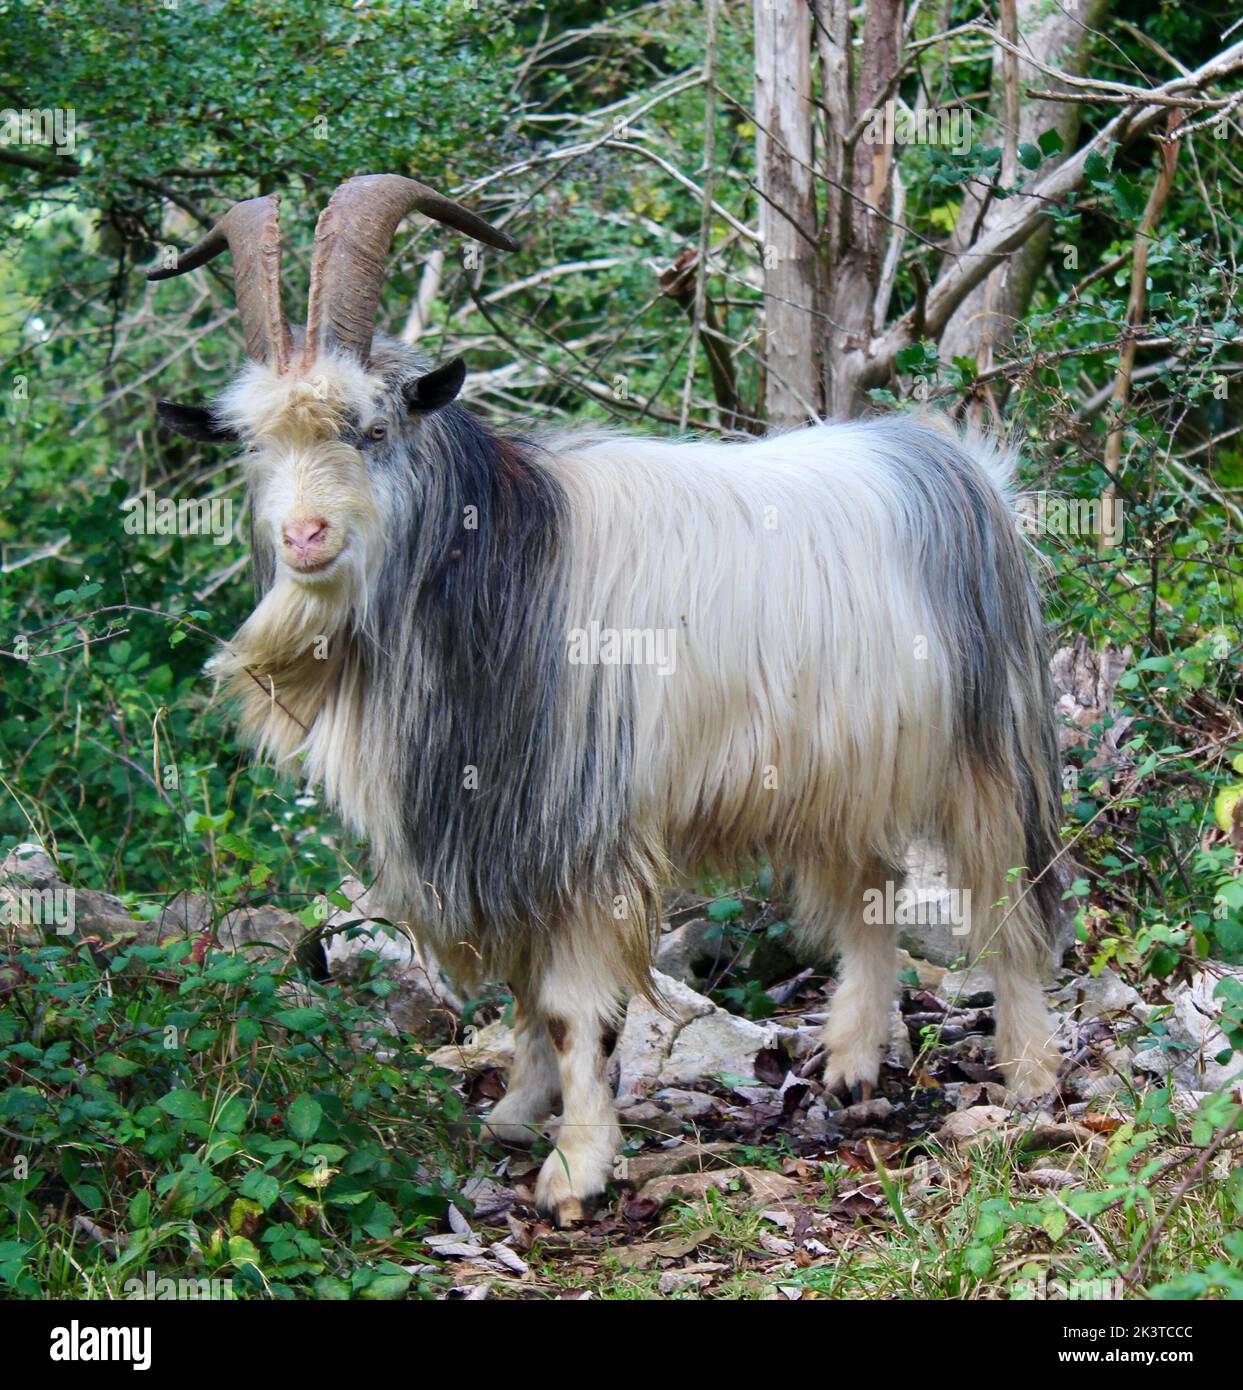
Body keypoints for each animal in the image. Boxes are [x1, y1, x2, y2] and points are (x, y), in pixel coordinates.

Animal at [151, 174, 1066, 1226]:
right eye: (254, 448)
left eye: (373, 430)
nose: (304, 537)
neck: (496, 562)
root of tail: (955, 458)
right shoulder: (501, 831)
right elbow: (520, 991)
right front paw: (517, 1110)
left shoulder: (578, 826)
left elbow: (567, 1004)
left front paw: (576, 1166)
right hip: (837, 771)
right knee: (867, 896)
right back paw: (847, 1066)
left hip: (986, 747)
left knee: (1011, 893)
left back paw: (1030, 1072)